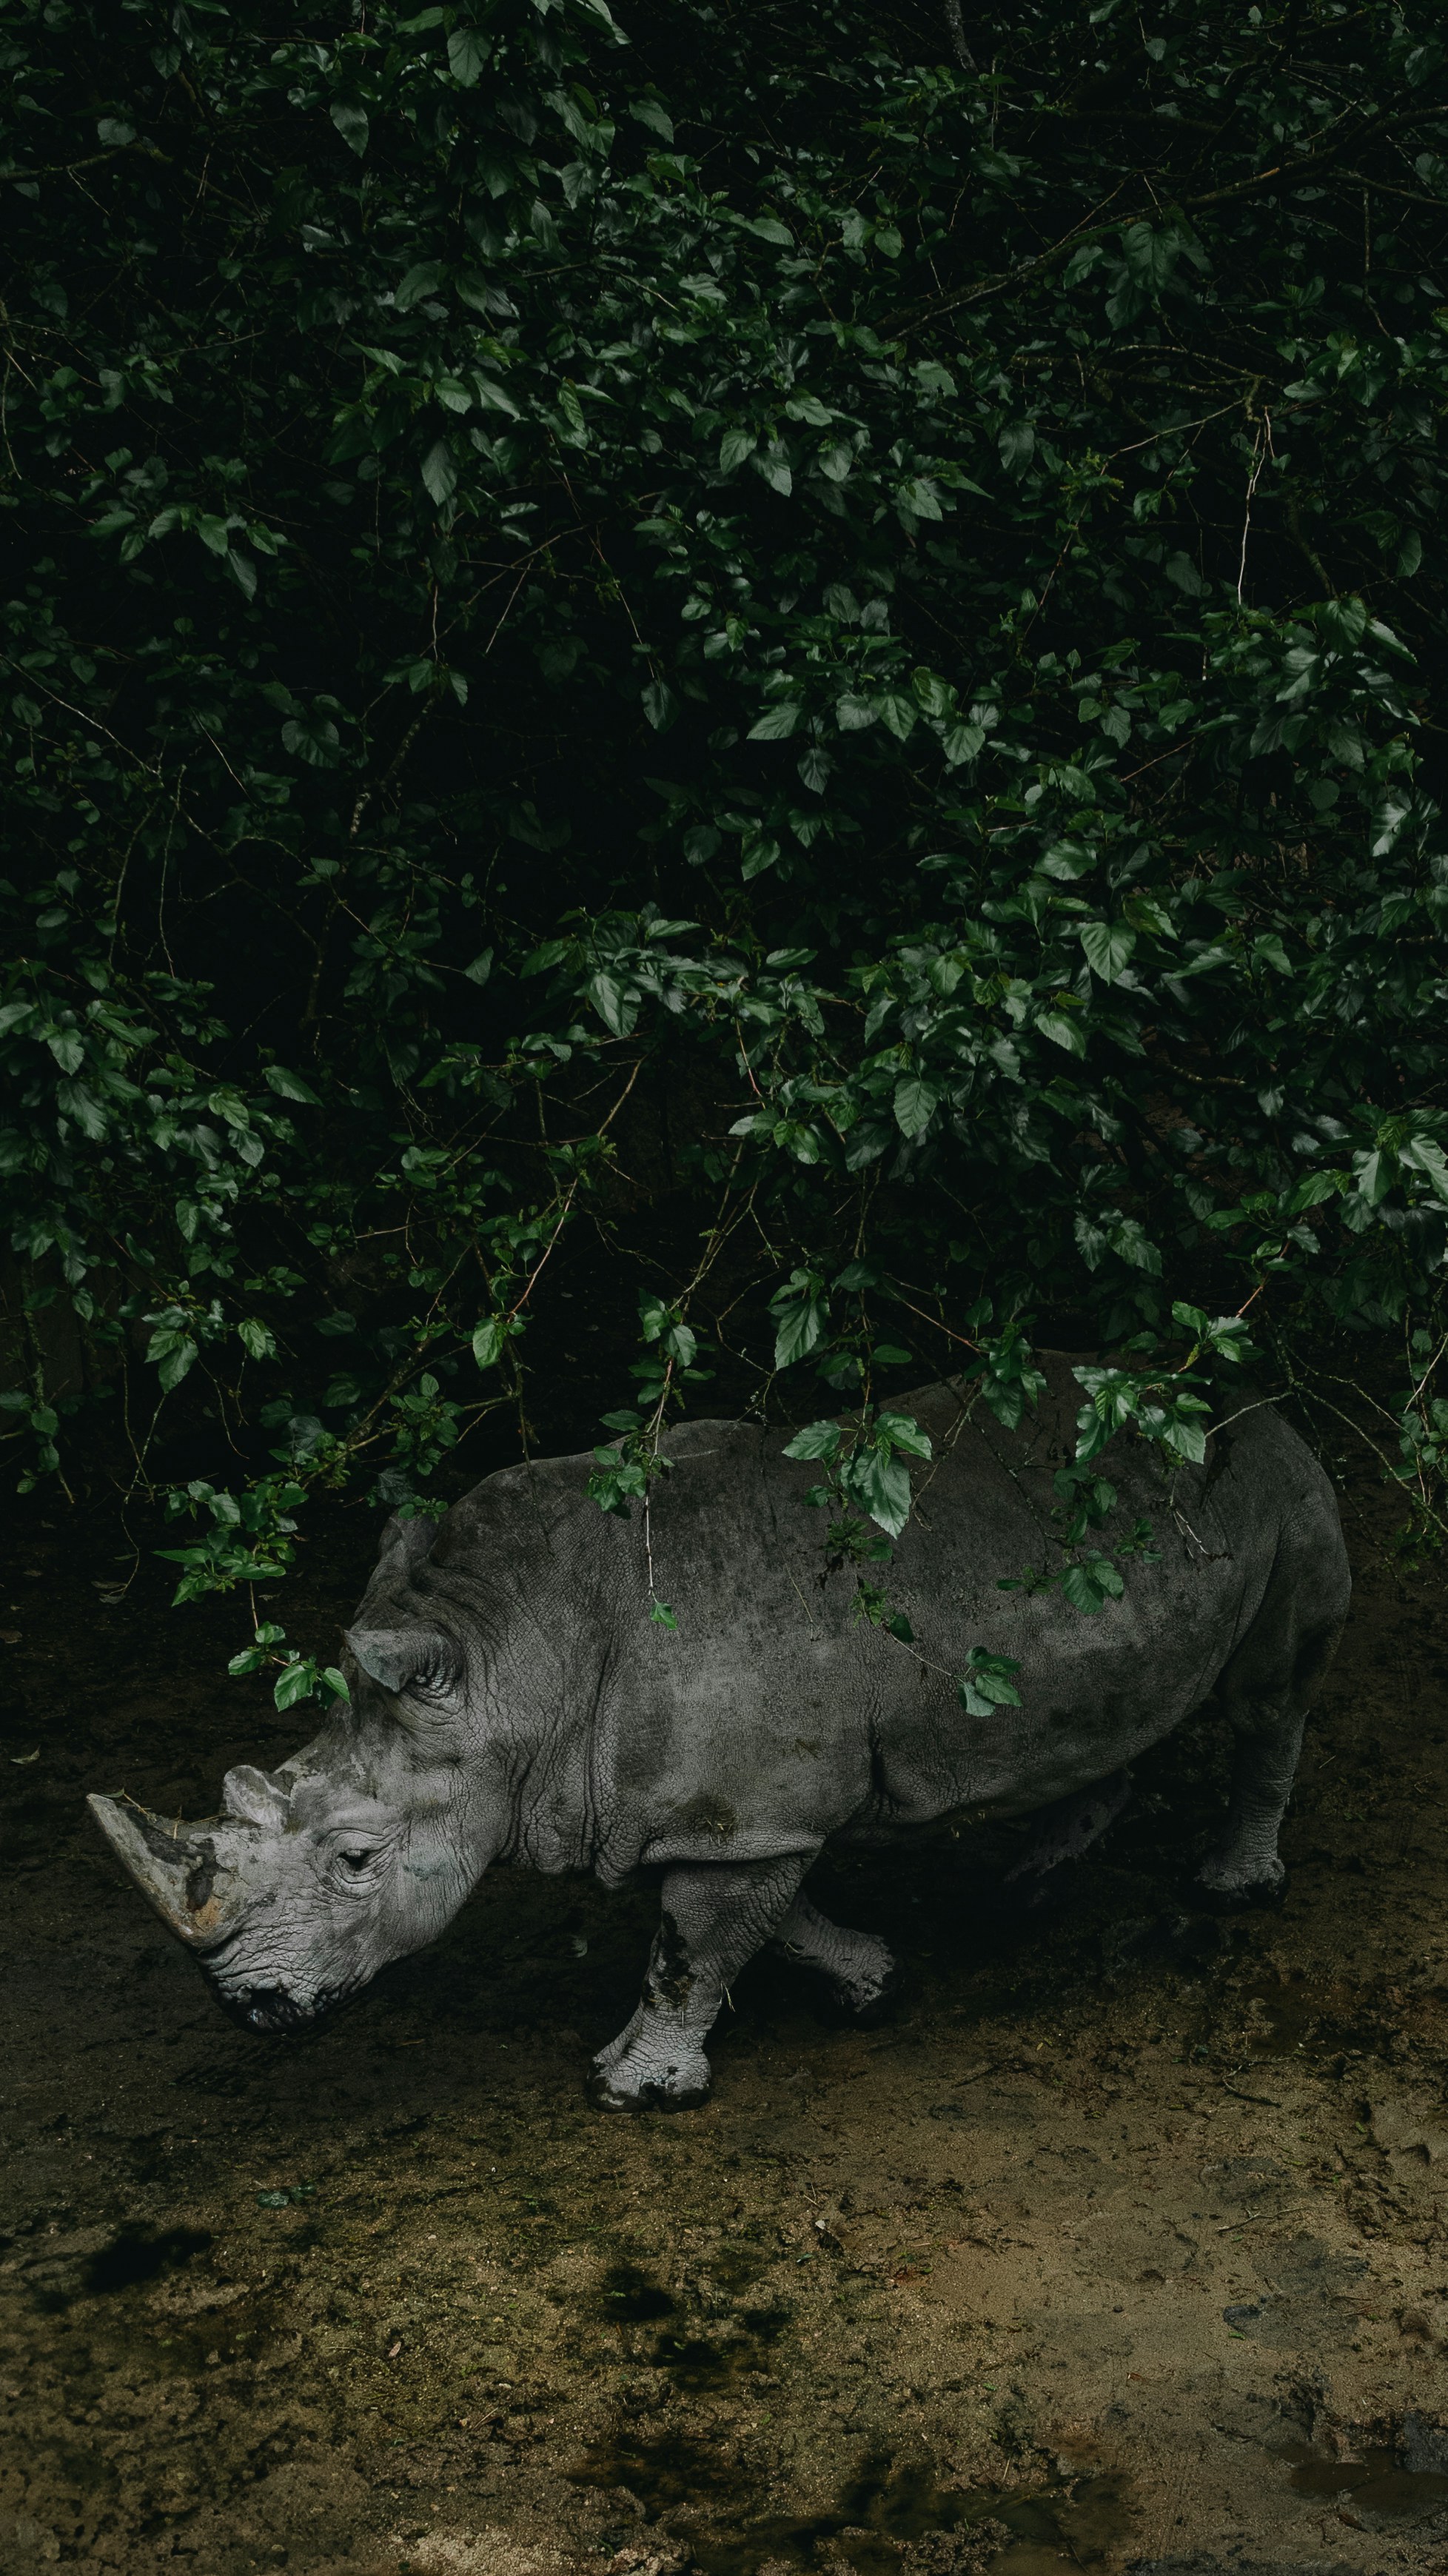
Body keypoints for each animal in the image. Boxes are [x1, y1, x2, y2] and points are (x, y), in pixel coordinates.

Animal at [90, 1365, 1349, 2111]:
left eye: (355, 1859)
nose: (249, 2007)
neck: (508, 1656)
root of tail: (1259, 1397)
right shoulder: (731, 1809)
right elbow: (757, 1920)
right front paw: (871, 1978)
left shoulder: (743, 1812)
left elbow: (691, 1946)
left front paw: (636, 2088)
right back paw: (1032, 1878)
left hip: (1279, 1490)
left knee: (1271, 1690)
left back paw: (1234, 1884)